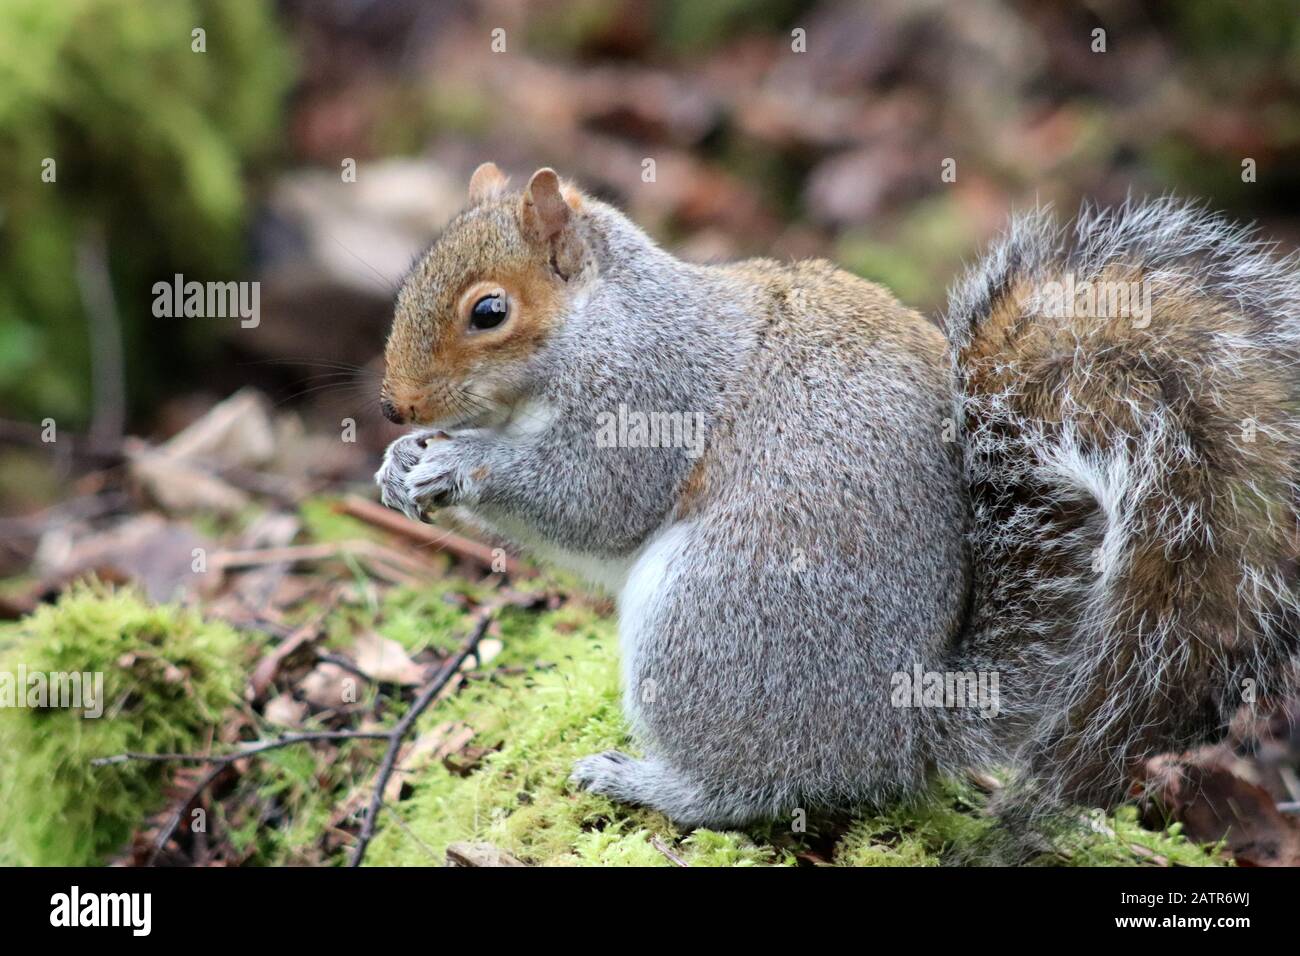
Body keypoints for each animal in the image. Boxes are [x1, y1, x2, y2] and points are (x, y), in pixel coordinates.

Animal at [376, 162, 1300, 832]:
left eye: (488, 311)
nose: (395, 407)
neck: (602, 321)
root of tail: (901, 737)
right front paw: (396, 463)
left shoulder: (650, 394)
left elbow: (595, 500)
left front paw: (458, 463)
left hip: (713, 615)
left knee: (754, 788)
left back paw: (653, 784)